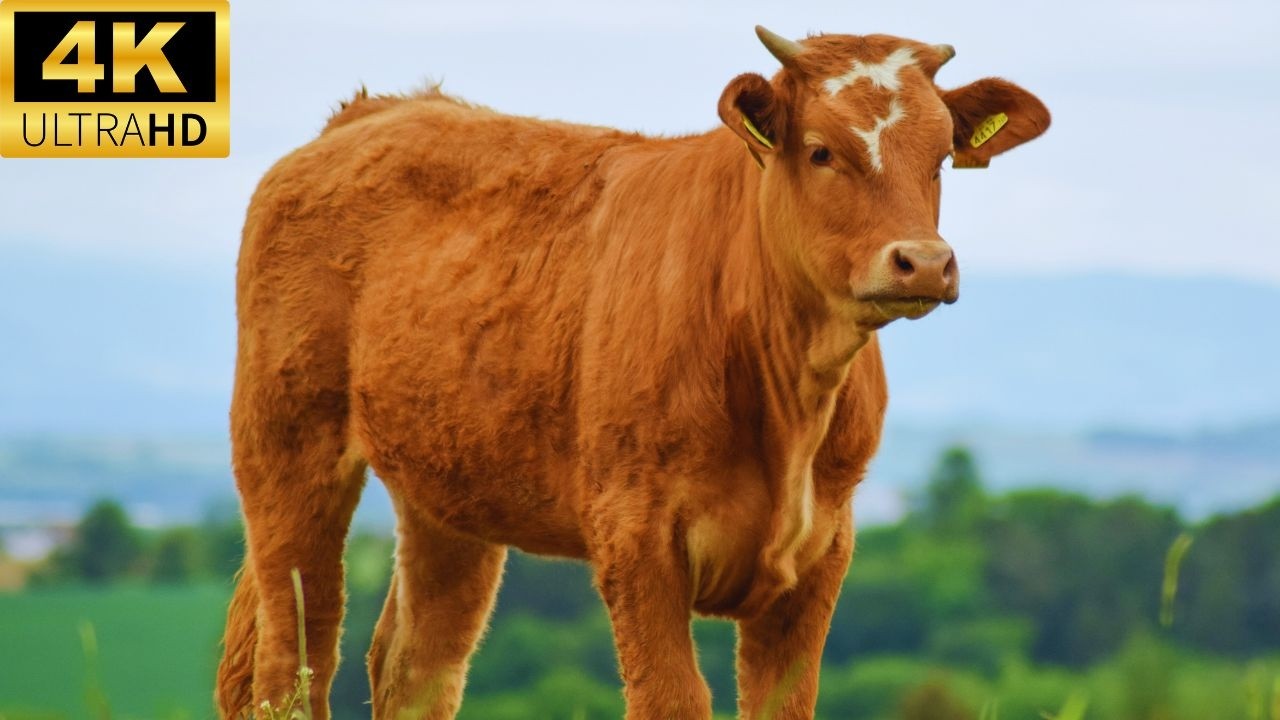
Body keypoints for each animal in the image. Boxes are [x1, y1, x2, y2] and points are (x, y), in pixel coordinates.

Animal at [215, 26, 1049, 720]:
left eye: (941, 158)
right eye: (820, 150)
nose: (924, 261)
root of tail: (377, 111)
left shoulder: (822, 550)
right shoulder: (635, 533)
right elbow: (671, 699)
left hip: (449, 494)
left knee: (414, 666)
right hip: (288, 448)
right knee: (292, 662)